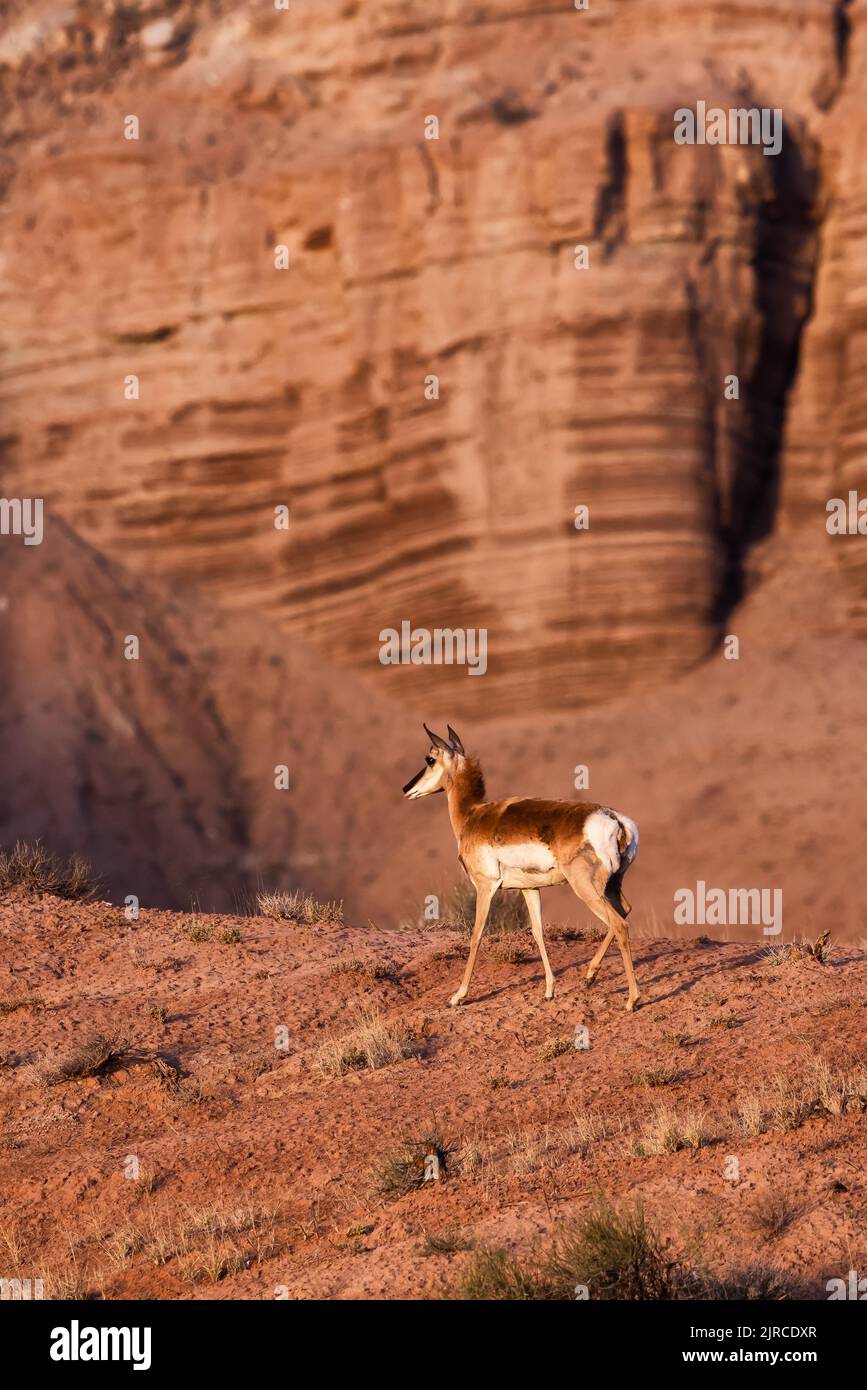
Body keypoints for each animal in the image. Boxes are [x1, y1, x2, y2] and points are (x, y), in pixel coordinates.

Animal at [403, 724, 641, 1011]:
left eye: (429, 759)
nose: (406, 788)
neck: (473, 815)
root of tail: (614, 818)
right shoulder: (530, 889)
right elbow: (537, 932)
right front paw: (549, 990)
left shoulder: (485, 888)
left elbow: (476, 935)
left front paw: (458, 996)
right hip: (611, 887)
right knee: (625, 910)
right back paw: (590, 976)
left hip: (586, 889)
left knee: (619, 924)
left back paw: (631, 1000)